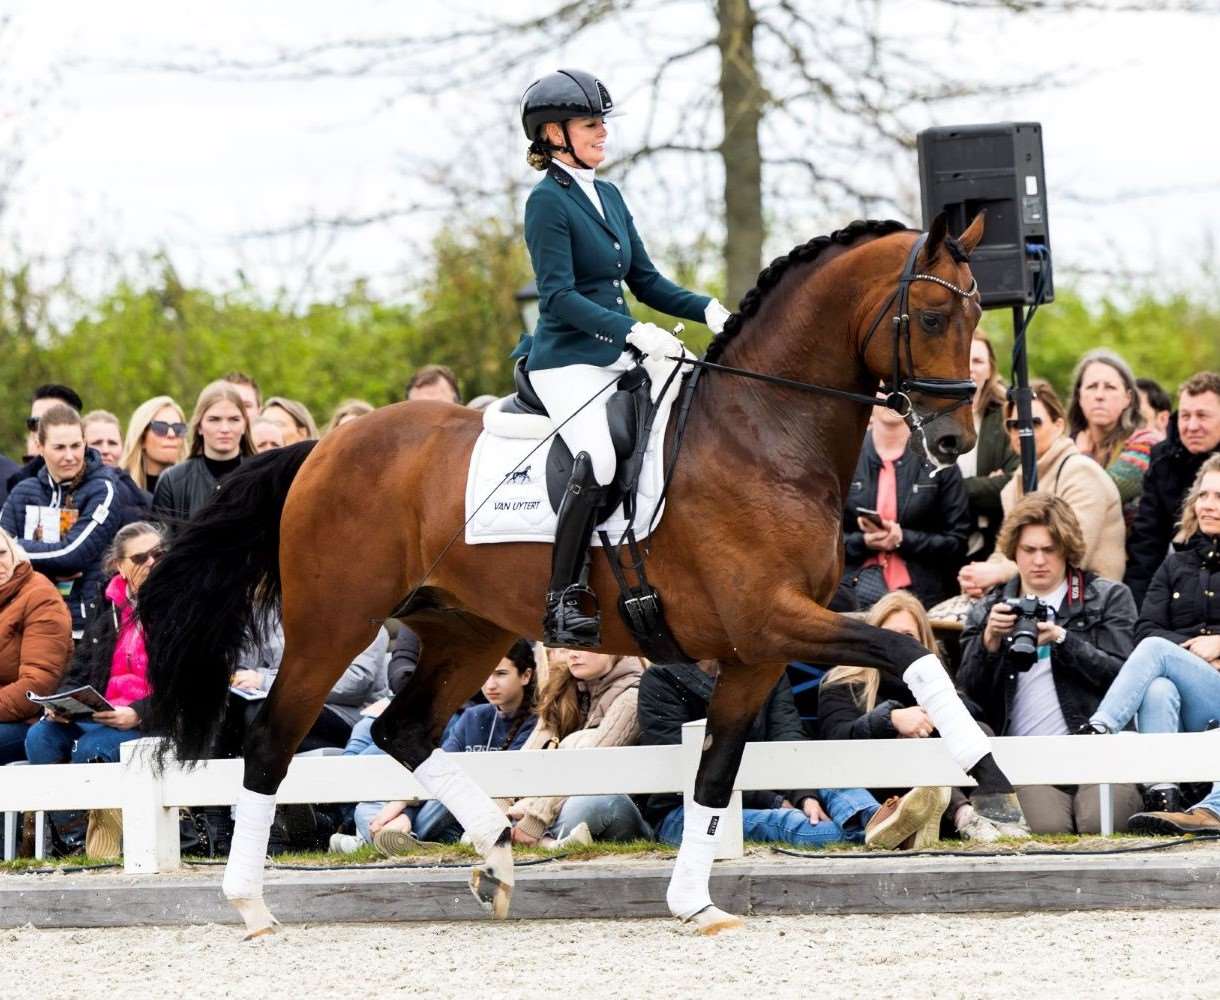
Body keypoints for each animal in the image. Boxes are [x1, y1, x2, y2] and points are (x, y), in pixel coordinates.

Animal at [141, 212, 1015, 939]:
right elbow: (910, 653)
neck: (763, 435)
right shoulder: (772, 619)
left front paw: (693, 903)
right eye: (932, 316)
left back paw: (496, 854)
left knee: (400, 730)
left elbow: (714, 774)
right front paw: (993, 772)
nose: (951, 441)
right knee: (271, 739)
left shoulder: (757, 652)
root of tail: (321, 448)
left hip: (464, 629)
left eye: (978, 317)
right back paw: (252, 905)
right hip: (335, 622)